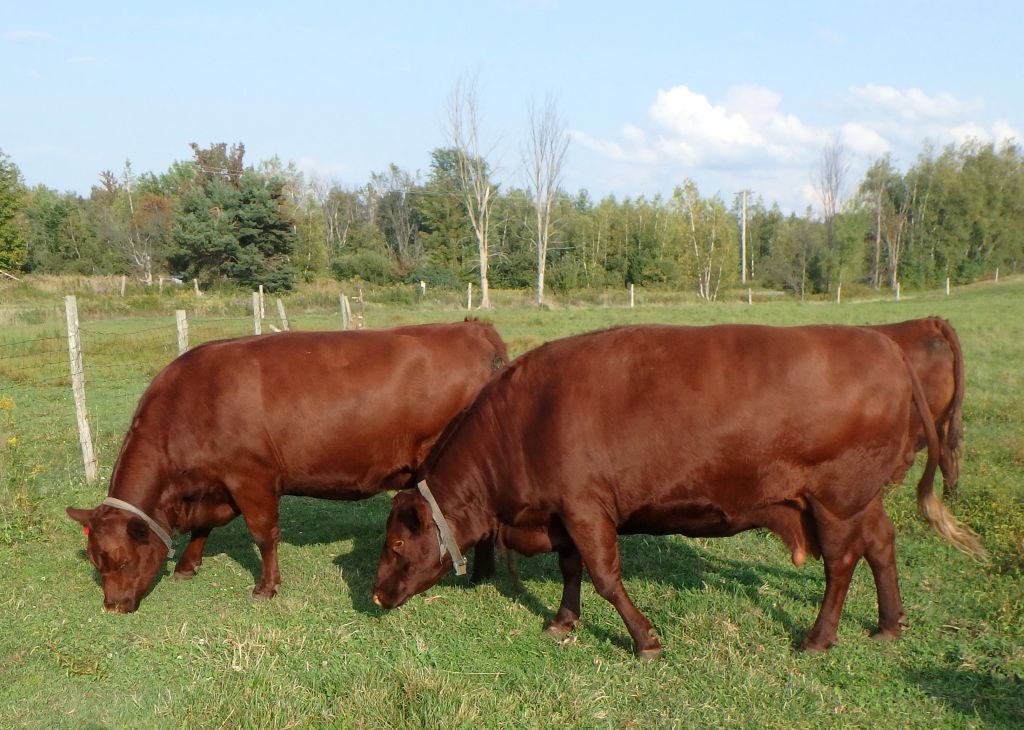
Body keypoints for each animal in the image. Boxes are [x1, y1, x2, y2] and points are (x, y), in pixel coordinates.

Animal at [67, 320, 508, 613]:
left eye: (122, 560)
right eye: (96, 563)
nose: (113, 606)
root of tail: (473, 328)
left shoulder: (251, 478)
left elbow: (264, 535)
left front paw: (266, 587)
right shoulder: (215, 487)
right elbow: (202, 528)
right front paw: (188, 567)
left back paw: (481, 573)